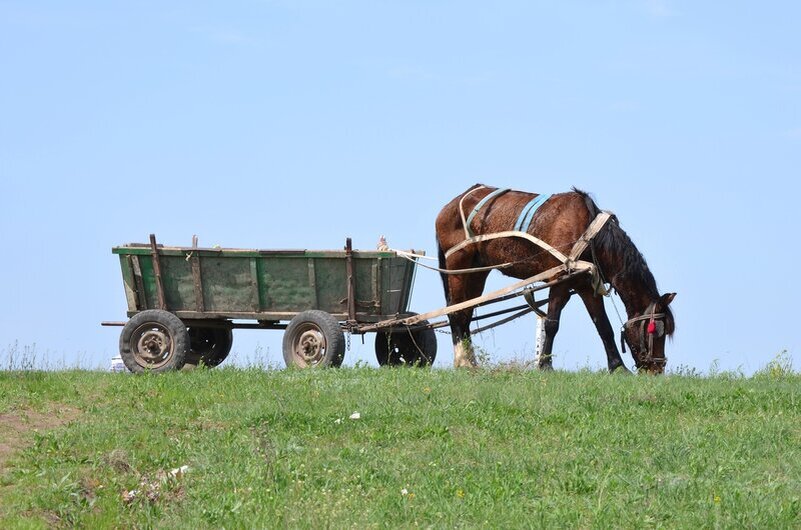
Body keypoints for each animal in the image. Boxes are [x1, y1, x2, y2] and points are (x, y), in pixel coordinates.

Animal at [432, 184, 676, 374]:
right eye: (656, 330)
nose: (657, 369)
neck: (589, 237)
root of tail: (450, 206)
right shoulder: (560, 281)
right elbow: (551, 324)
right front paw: (545, 365)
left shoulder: (585, 286)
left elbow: (603, 326)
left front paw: (617, 366)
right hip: (458, 265)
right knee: (456, 313)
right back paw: (463, 361)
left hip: (476, 271)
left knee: (465, 312)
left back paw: (470, 361)